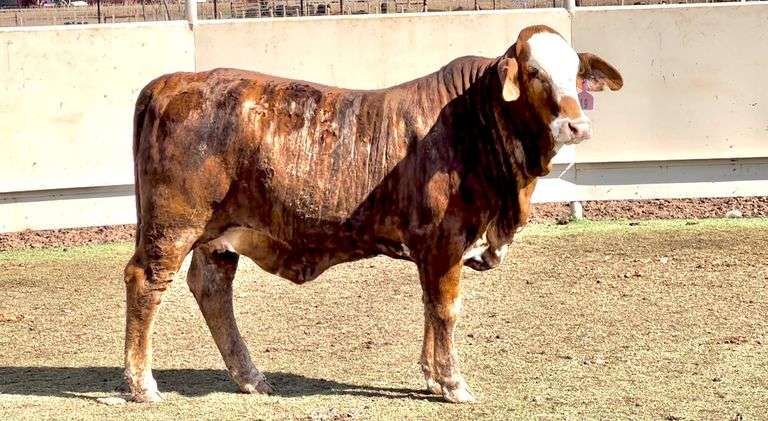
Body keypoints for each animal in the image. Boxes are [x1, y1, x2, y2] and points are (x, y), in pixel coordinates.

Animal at [122, 24, 623, 404]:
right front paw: (453, 383)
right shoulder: (445, 241)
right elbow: (445, 309)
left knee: (212, 290)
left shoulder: (433, 252)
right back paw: (143, 384)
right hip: (174, 225)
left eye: (576, 73)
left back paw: (250, 377)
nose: (577, 125)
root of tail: (171, 82)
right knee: (146, 281)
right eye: (535, 72)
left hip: (219, 234)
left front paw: (431, 376)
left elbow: (429, 305)